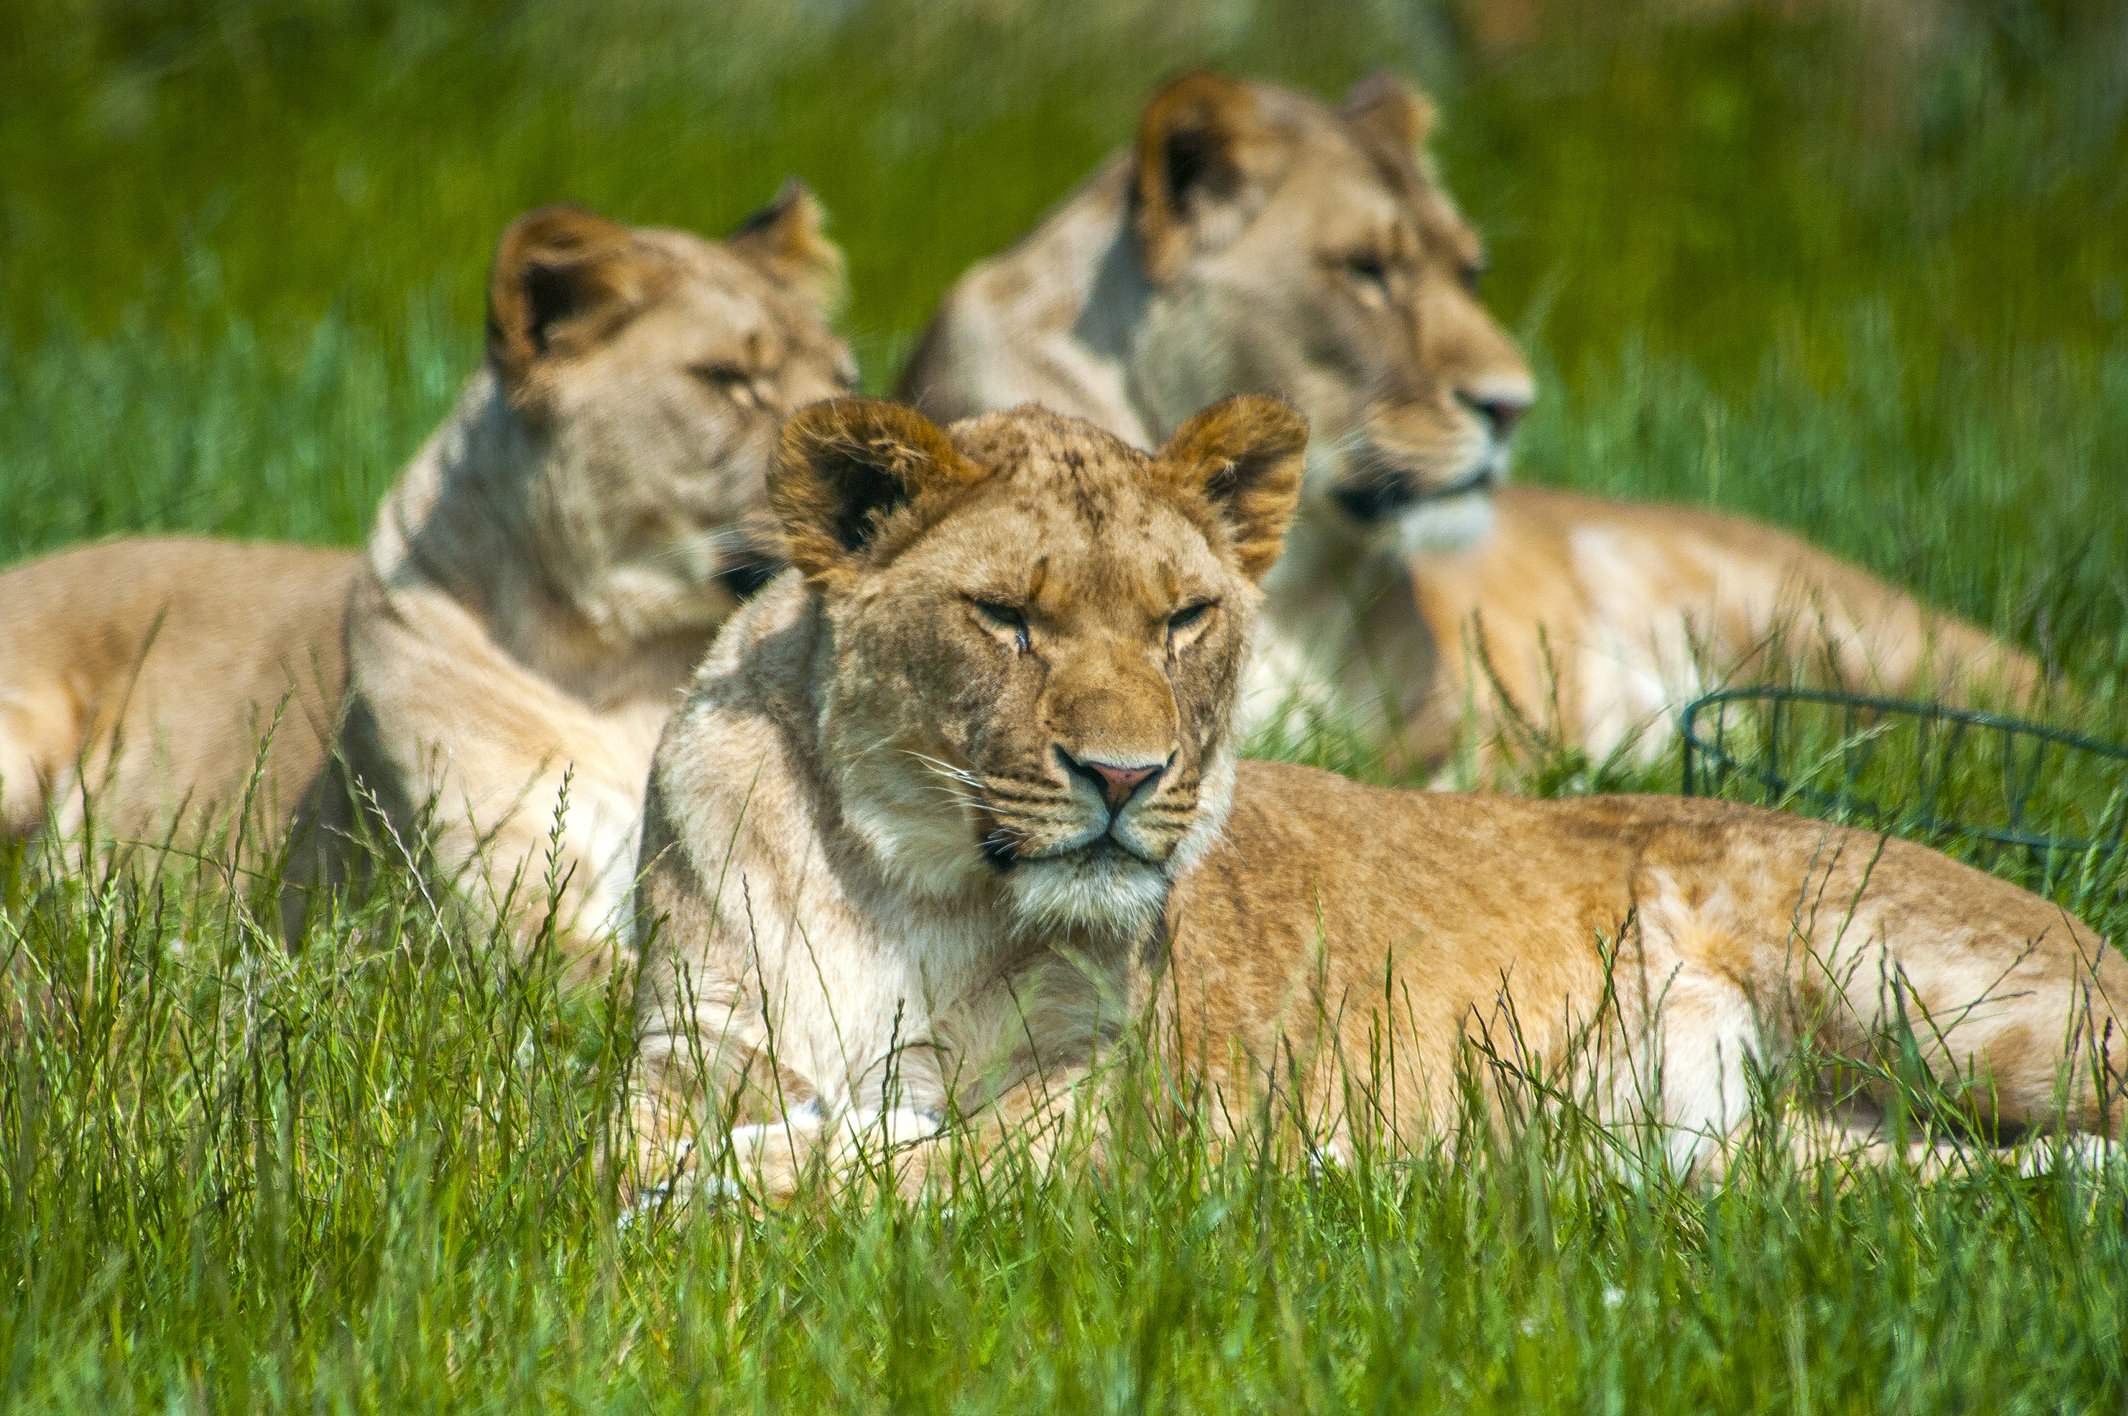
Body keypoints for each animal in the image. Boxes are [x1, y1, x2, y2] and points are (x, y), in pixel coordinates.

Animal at [621, 398, 2121, 1205]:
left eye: (1183, 620)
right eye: (1005, 616)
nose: (1125, 778)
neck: (910, 884)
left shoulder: (1114, 1105)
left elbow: (923, 1163)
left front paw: (760, 1172)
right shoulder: (682, 1052)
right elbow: (611, 1153)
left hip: (1923, 983)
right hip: (1765, 1159)